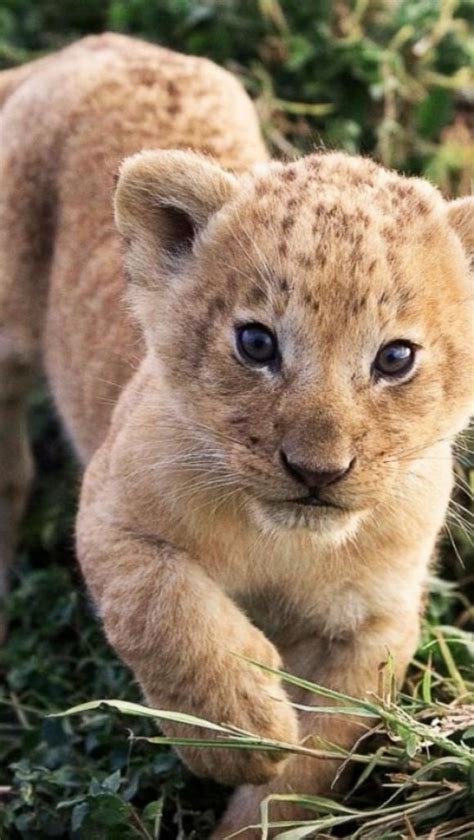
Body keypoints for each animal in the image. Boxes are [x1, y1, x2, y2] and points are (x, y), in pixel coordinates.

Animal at [1, 33, 473, 839]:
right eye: (256, 344)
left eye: (396, 358)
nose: (317, 470)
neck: (287, 545)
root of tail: (95, 44)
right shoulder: (112, 518)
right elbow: (169, 613)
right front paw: (242, 733)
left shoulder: (376, 622)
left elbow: (317, 762)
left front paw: (259, 800)